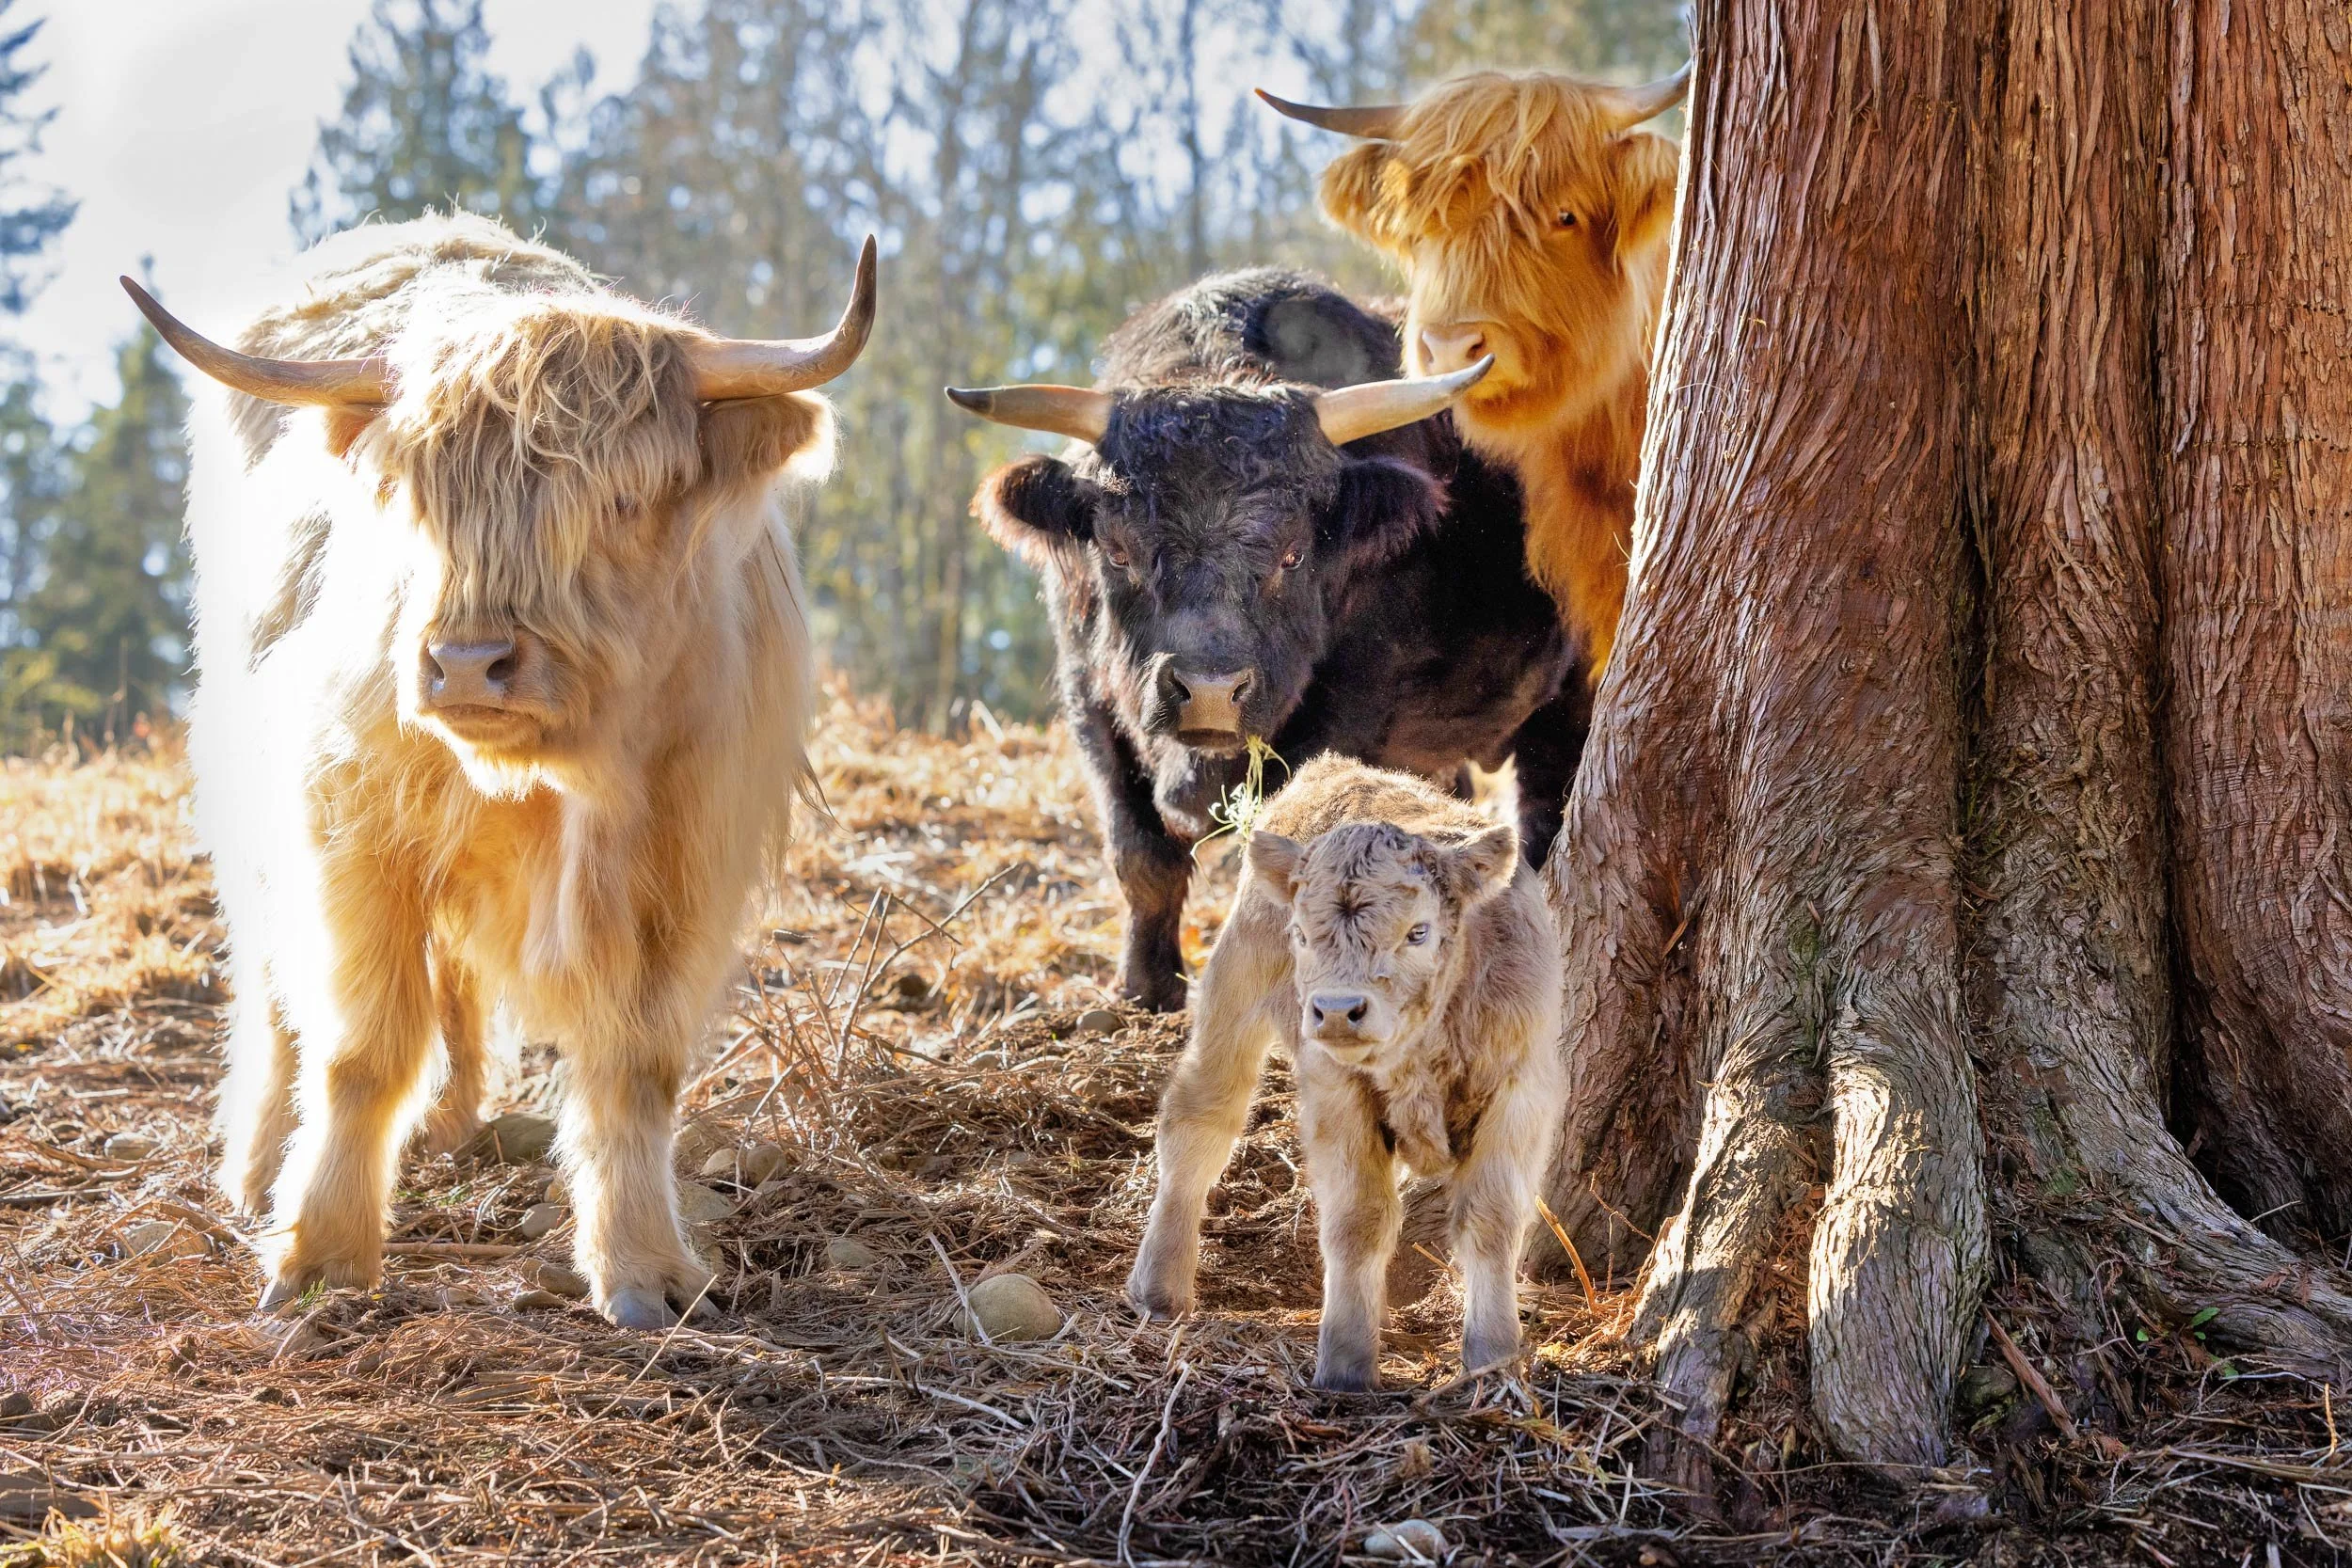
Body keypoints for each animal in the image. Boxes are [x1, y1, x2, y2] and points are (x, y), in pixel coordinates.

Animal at [127, 213, 875, 1328]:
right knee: (272, 984)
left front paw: (645, 1268)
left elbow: (636, 1063)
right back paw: (259, 1166)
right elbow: (364, 1045)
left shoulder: (688, 864)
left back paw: (451, 1122)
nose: (468, 662)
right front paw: (321, 1256)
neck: (560, 779)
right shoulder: (354, 830)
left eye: (621, 498)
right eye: (420, 498)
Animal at [947, 270, 1586, 1012]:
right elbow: (1141, 855)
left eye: (1292, 553)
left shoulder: (1346, 717)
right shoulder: (1093, 702)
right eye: (1117, 550)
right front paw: (1146, 989)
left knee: (1544, 812)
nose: (1210, 691)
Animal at [1125, 756, 1565, 1389]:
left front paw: (1494, 1356)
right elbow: (1359, 1220)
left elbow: (1491, 1221)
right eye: (1303, 934)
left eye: (1418, 931)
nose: (1337, 1010)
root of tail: (1331, 769)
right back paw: (1158, 1289)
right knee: (1199, 1124)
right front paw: (1346, 1366)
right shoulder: (1338, 1094)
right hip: (1231, 1001)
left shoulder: (1521, 1090)